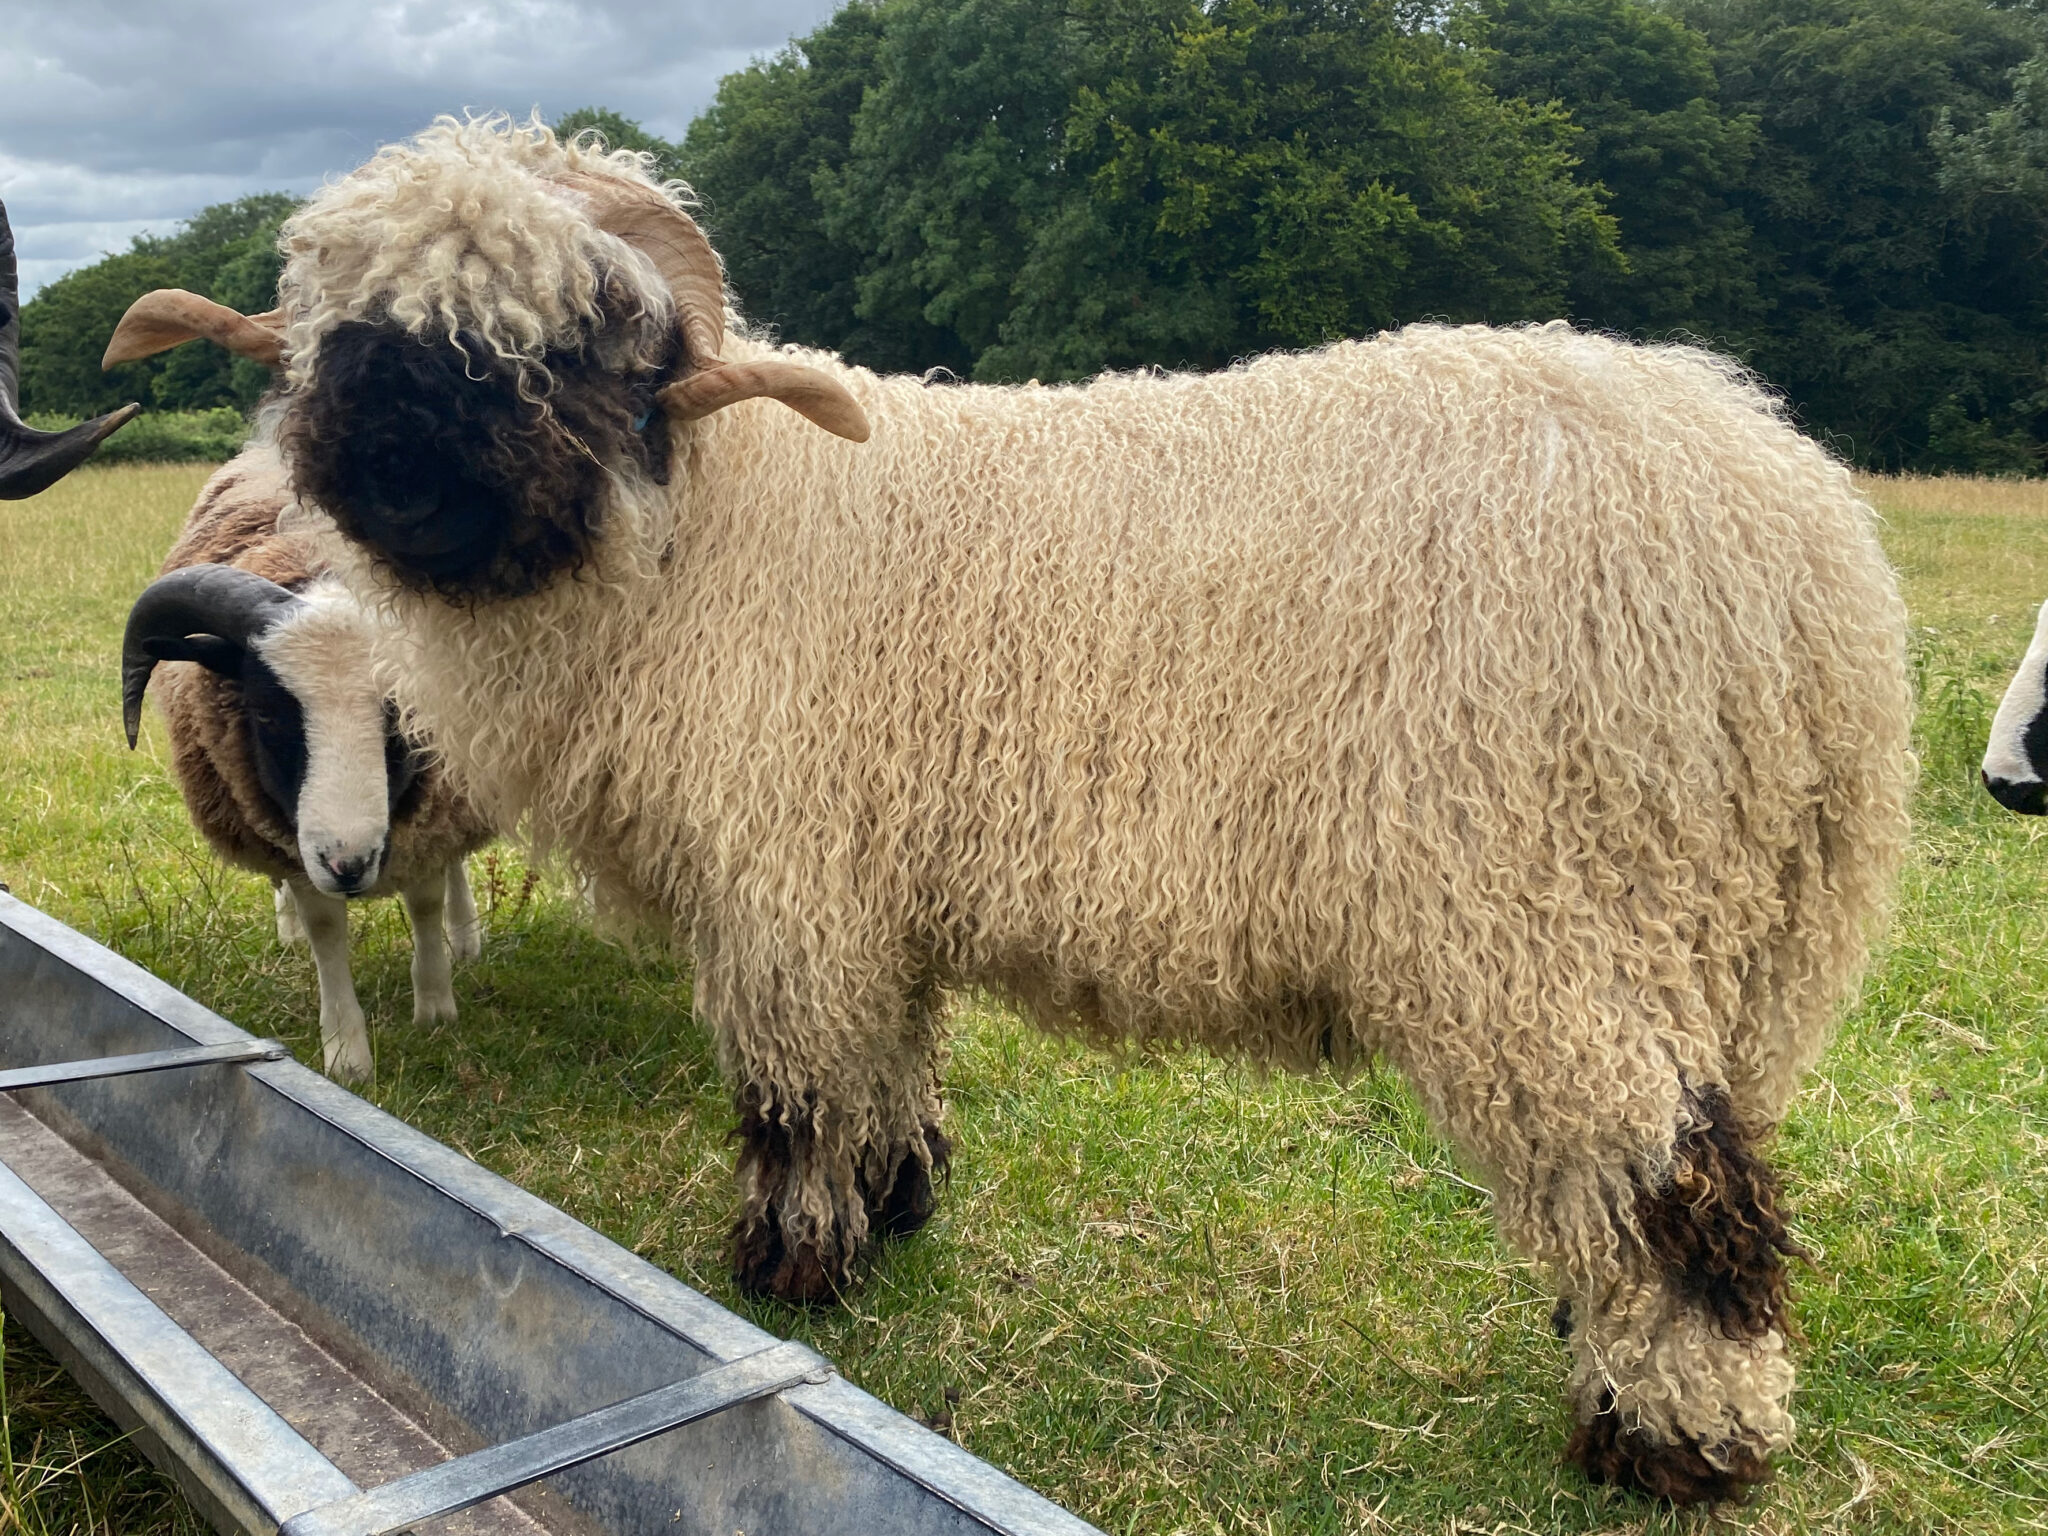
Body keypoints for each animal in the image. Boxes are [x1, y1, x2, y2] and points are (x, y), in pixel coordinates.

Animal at [118, 442, 495, 1080]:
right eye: (266, 716)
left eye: (410, 720)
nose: (349, 863)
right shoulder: (294, 844)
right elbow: (324, 926)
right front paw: (347, 1055)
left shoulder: (433, 813)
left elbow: (426, 898)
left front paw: (435, 1006)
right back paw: (288, 925)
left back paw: (463, 938)